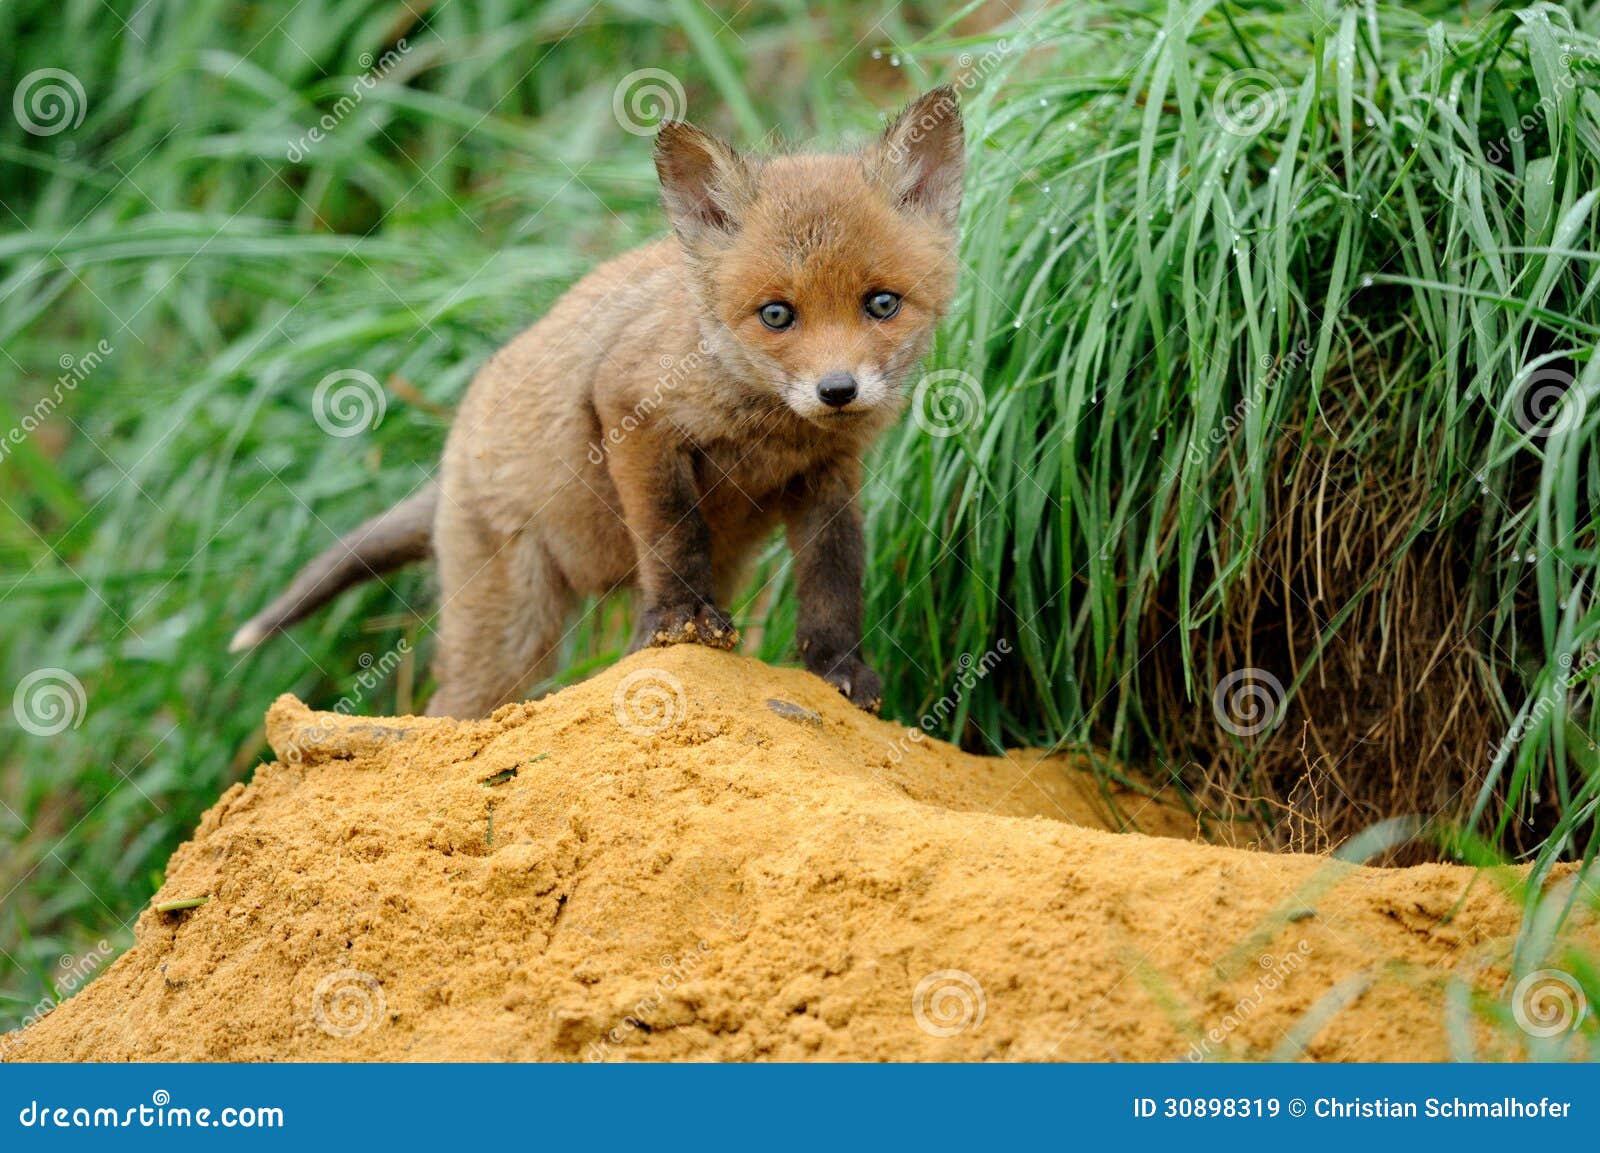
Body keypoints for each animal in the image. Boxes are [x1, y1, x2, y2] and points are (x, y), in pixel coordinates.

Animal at [229, 86, 965, 719]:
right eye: (777, 314)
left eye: (882, 304)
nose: (837, 390)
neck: (769, 424)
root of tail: (450, 458)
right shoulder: (631, 411)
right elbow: (672, 536)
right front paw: (681, 619)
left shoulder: (828, 473)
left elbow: (834, 581)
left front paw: (840, 670)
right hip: (512, 630)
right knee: (453, 709)